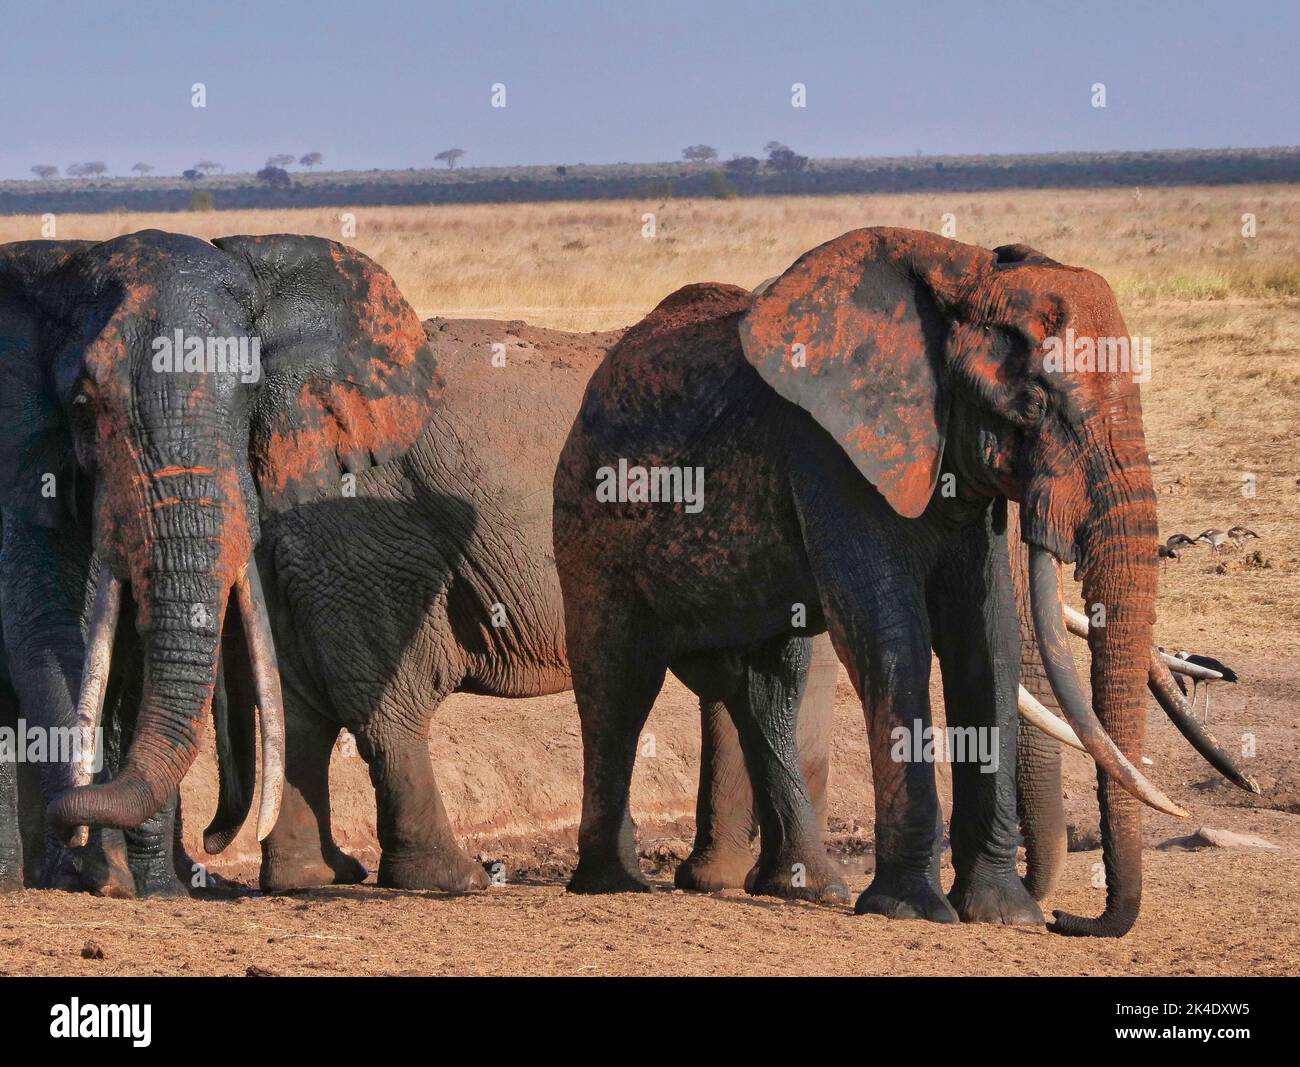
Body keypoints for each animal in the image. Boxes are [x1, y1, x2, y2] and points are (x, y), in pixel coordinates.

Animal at [553, 226, 1232, 936]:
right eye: (1034, 404)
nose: (1069, 920)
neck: (965, 275)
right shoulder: (828, 452)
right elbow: (889, 631)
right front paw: (914, 910)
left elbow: (983, 634)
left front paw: (1003, 916)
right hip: (590, 524)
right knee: (619, 684)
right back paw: (614, 883)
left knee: (767, 688)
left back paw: (807, 889)